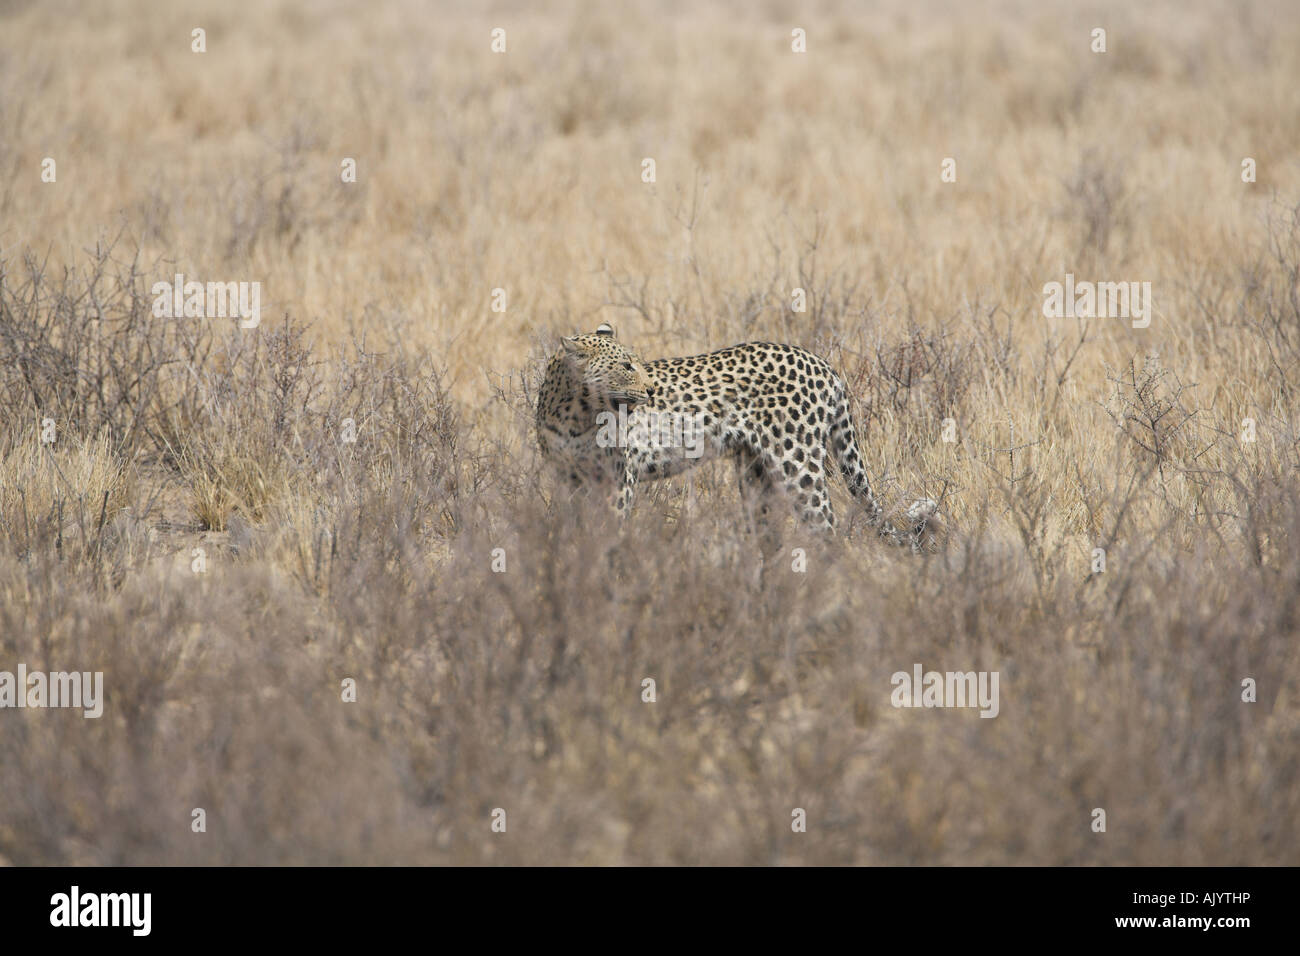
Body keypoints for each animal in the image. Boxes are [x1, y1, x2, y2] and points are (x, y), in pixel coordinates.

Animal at [535, 323, 944, 552]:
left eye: (638, 363)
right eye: (625, 366)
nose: (651, 390)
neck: (576, 411)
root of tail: (819, 361)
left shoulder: (619, 478)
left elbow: (611, 529)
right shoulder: (568, 477)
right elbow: (572, 527)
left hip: (798, 464)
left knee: (826, 529)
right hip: (755, 473)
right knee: (770, 535)